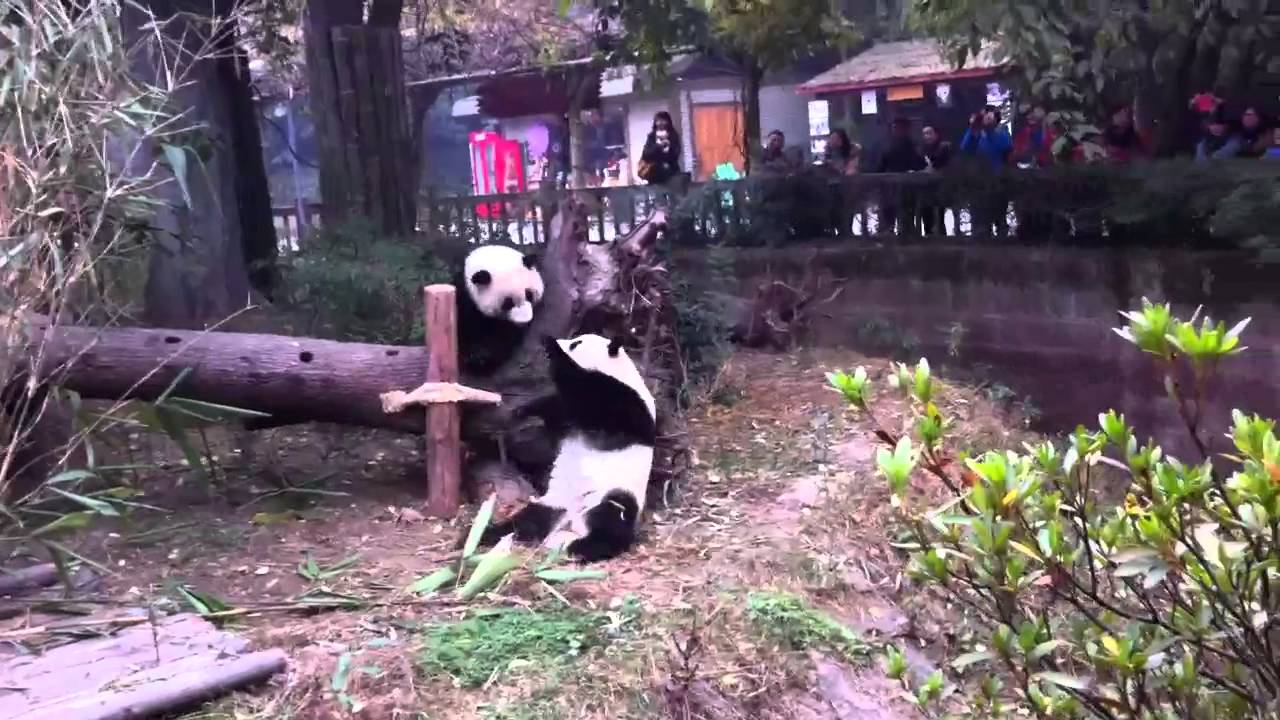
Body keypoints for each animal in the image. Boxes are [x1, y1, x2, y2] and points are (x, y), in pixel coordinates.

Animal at [455, 244, 545, 376]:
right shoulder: (464, 295)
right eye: (508, 302)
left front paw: (483, 357)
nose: (523, 321)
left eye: (529, 294)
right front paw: (475, 356)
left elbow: (505, 337)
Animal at [476, 333, 657, 562]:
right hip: (554, 503)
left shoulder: (625, 404)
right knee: (529, 520)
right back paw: (484, 535)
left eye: (576, 343)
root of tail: (572, 524)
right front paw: (523, 410)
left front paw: (551, 345)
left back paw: (583, 547)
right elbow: (560, 408)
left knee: (612, 520)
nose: (563, 342)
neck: (620, 372)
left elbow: (581, 390)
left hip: (613, 492)